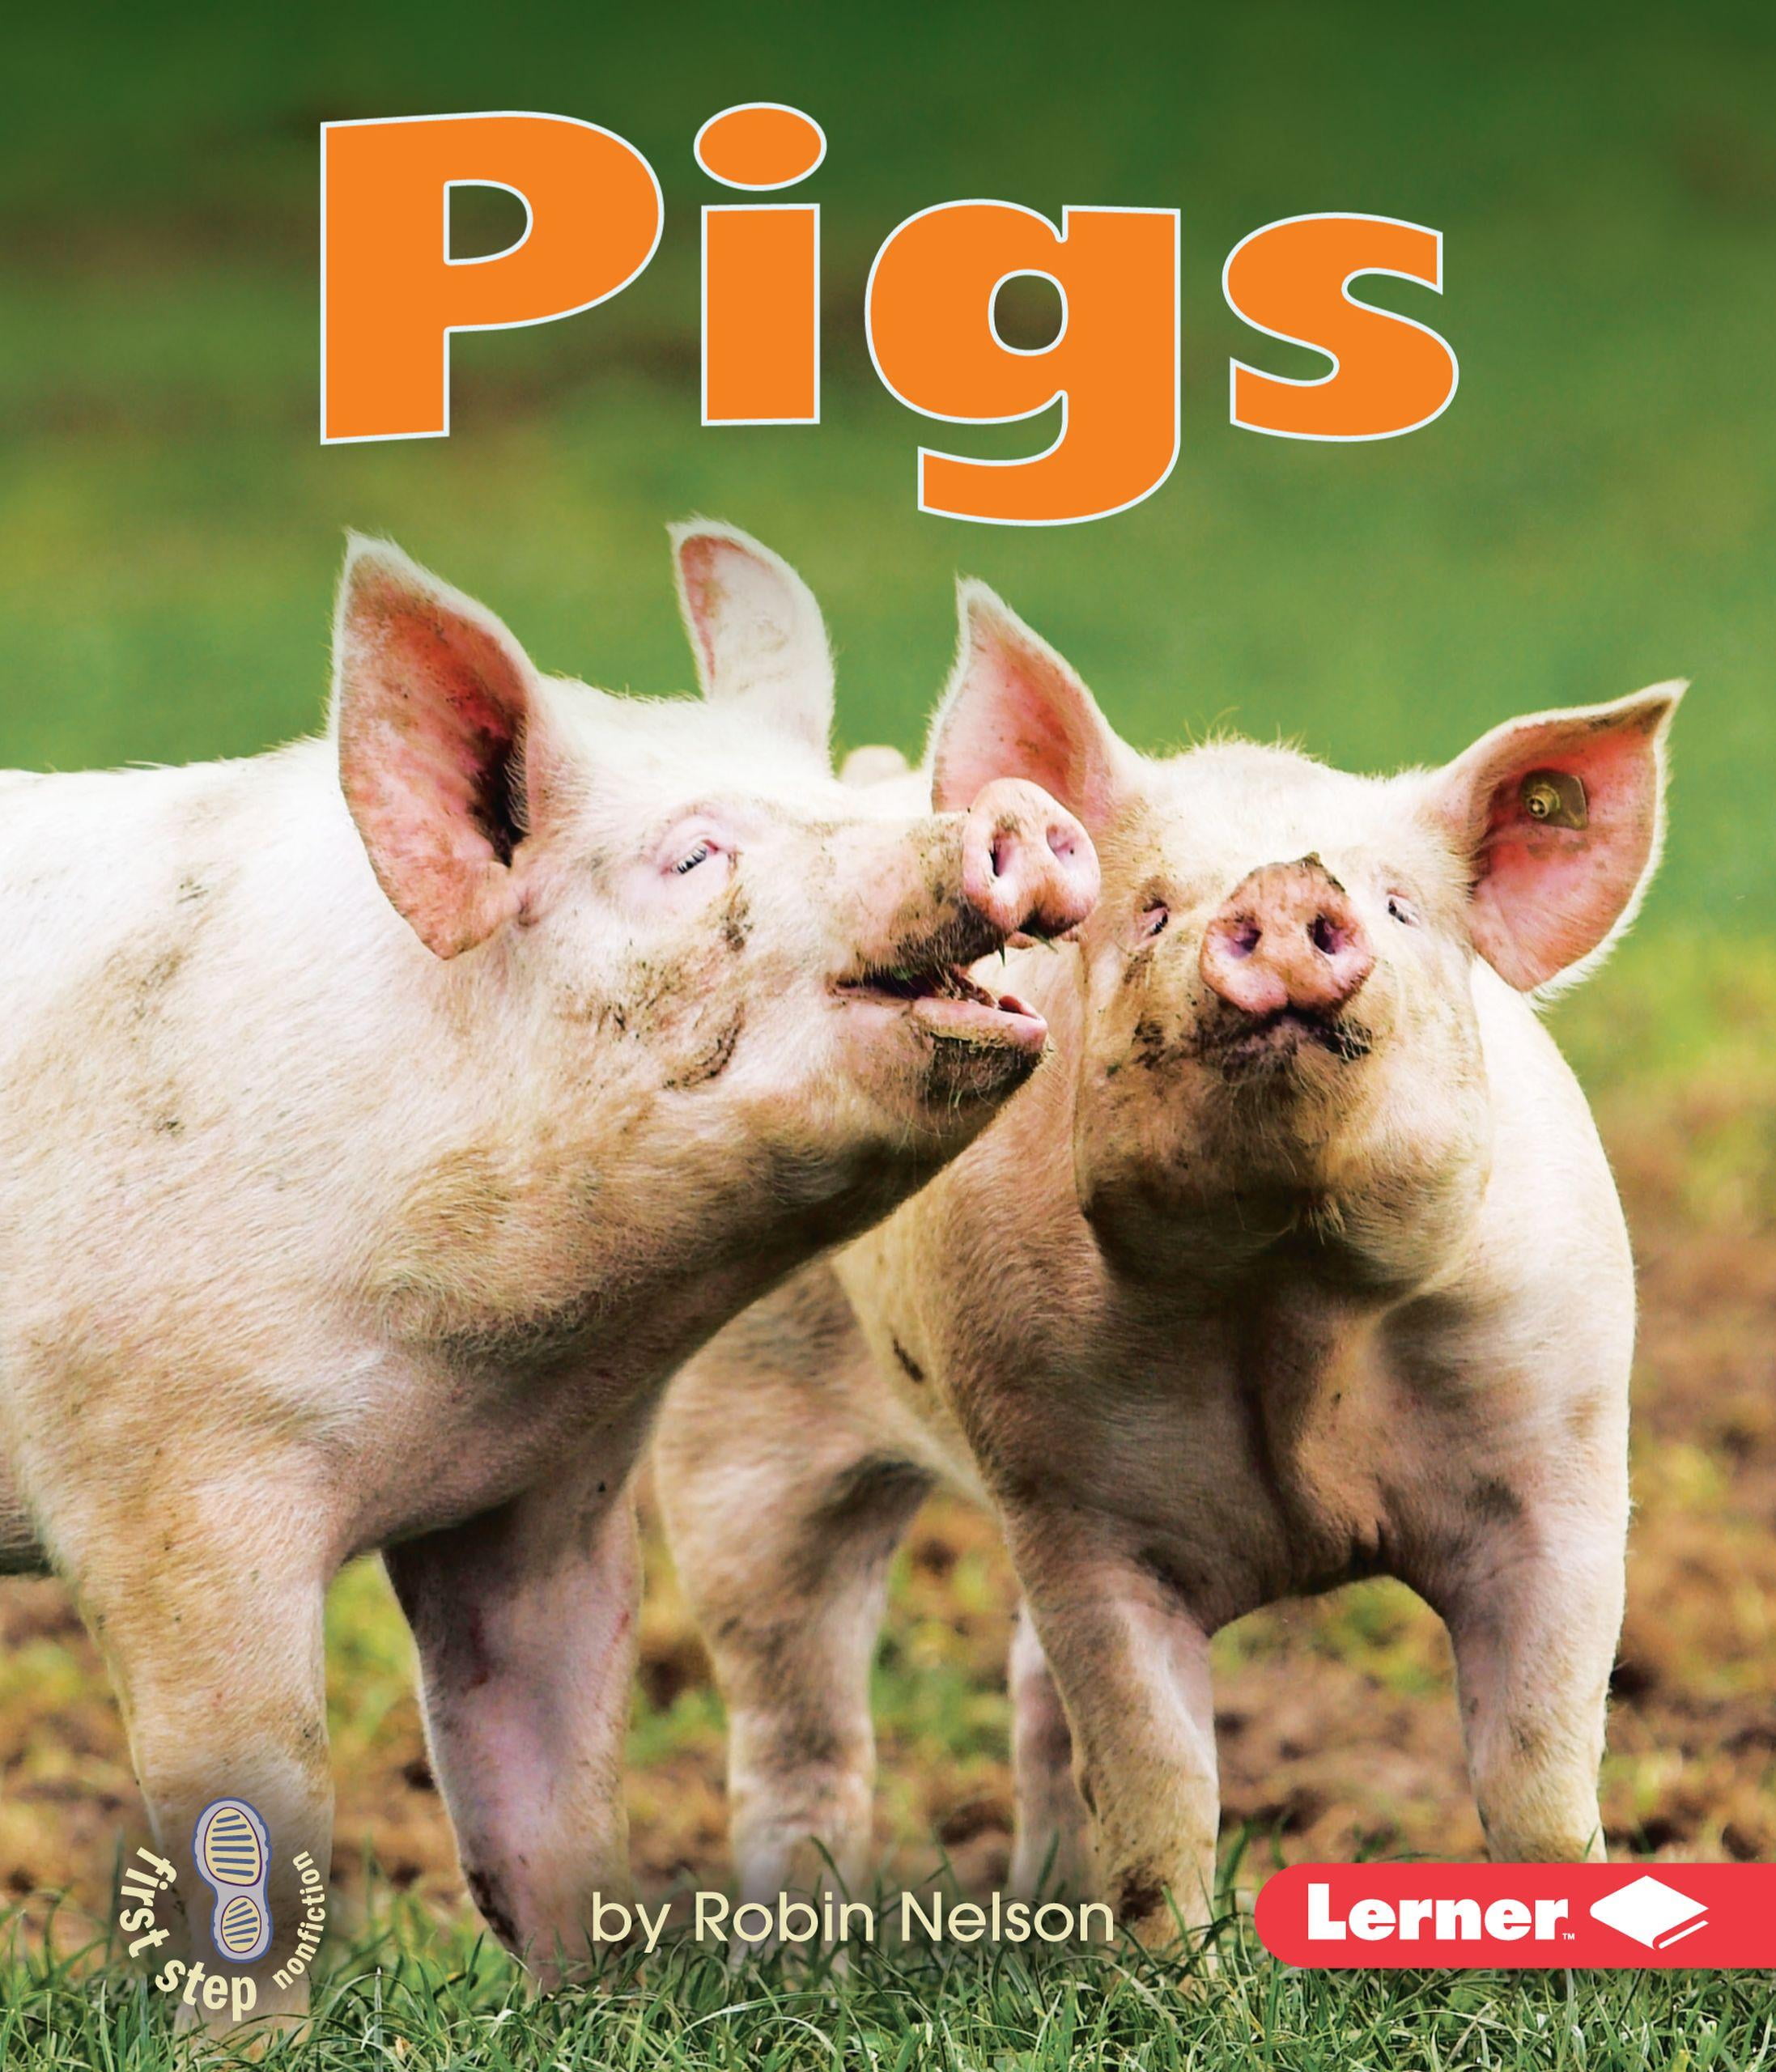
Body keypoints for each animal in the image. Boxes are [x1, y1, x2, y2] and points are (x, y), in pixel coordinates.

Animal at [0, 525, 1098, 2027]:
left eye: (831, 795)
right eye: (691, 854)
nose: (1019, 813)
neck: (487, 1365)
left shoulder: (548, 1488)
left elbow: (550, 1785)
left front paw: (590, 2012)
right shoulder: (166, 1482)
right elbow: (263, 1800)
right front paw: (248, 2048)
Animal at [655, 577, 1683, 1947]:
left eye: (1402, 907)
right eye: (1146, 909)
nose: (1285, 886)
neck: (1287, 1302)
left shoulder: (1558, 1464)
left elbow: (1538, 1772)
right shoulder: (1073, 1506)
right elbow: (1155, 1785)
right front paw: (1178, 1975)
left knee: (1026, 1701)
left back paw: (1038, 1908)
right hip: (734, 1431)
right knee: (797, 1720)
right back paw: (799, 1953)